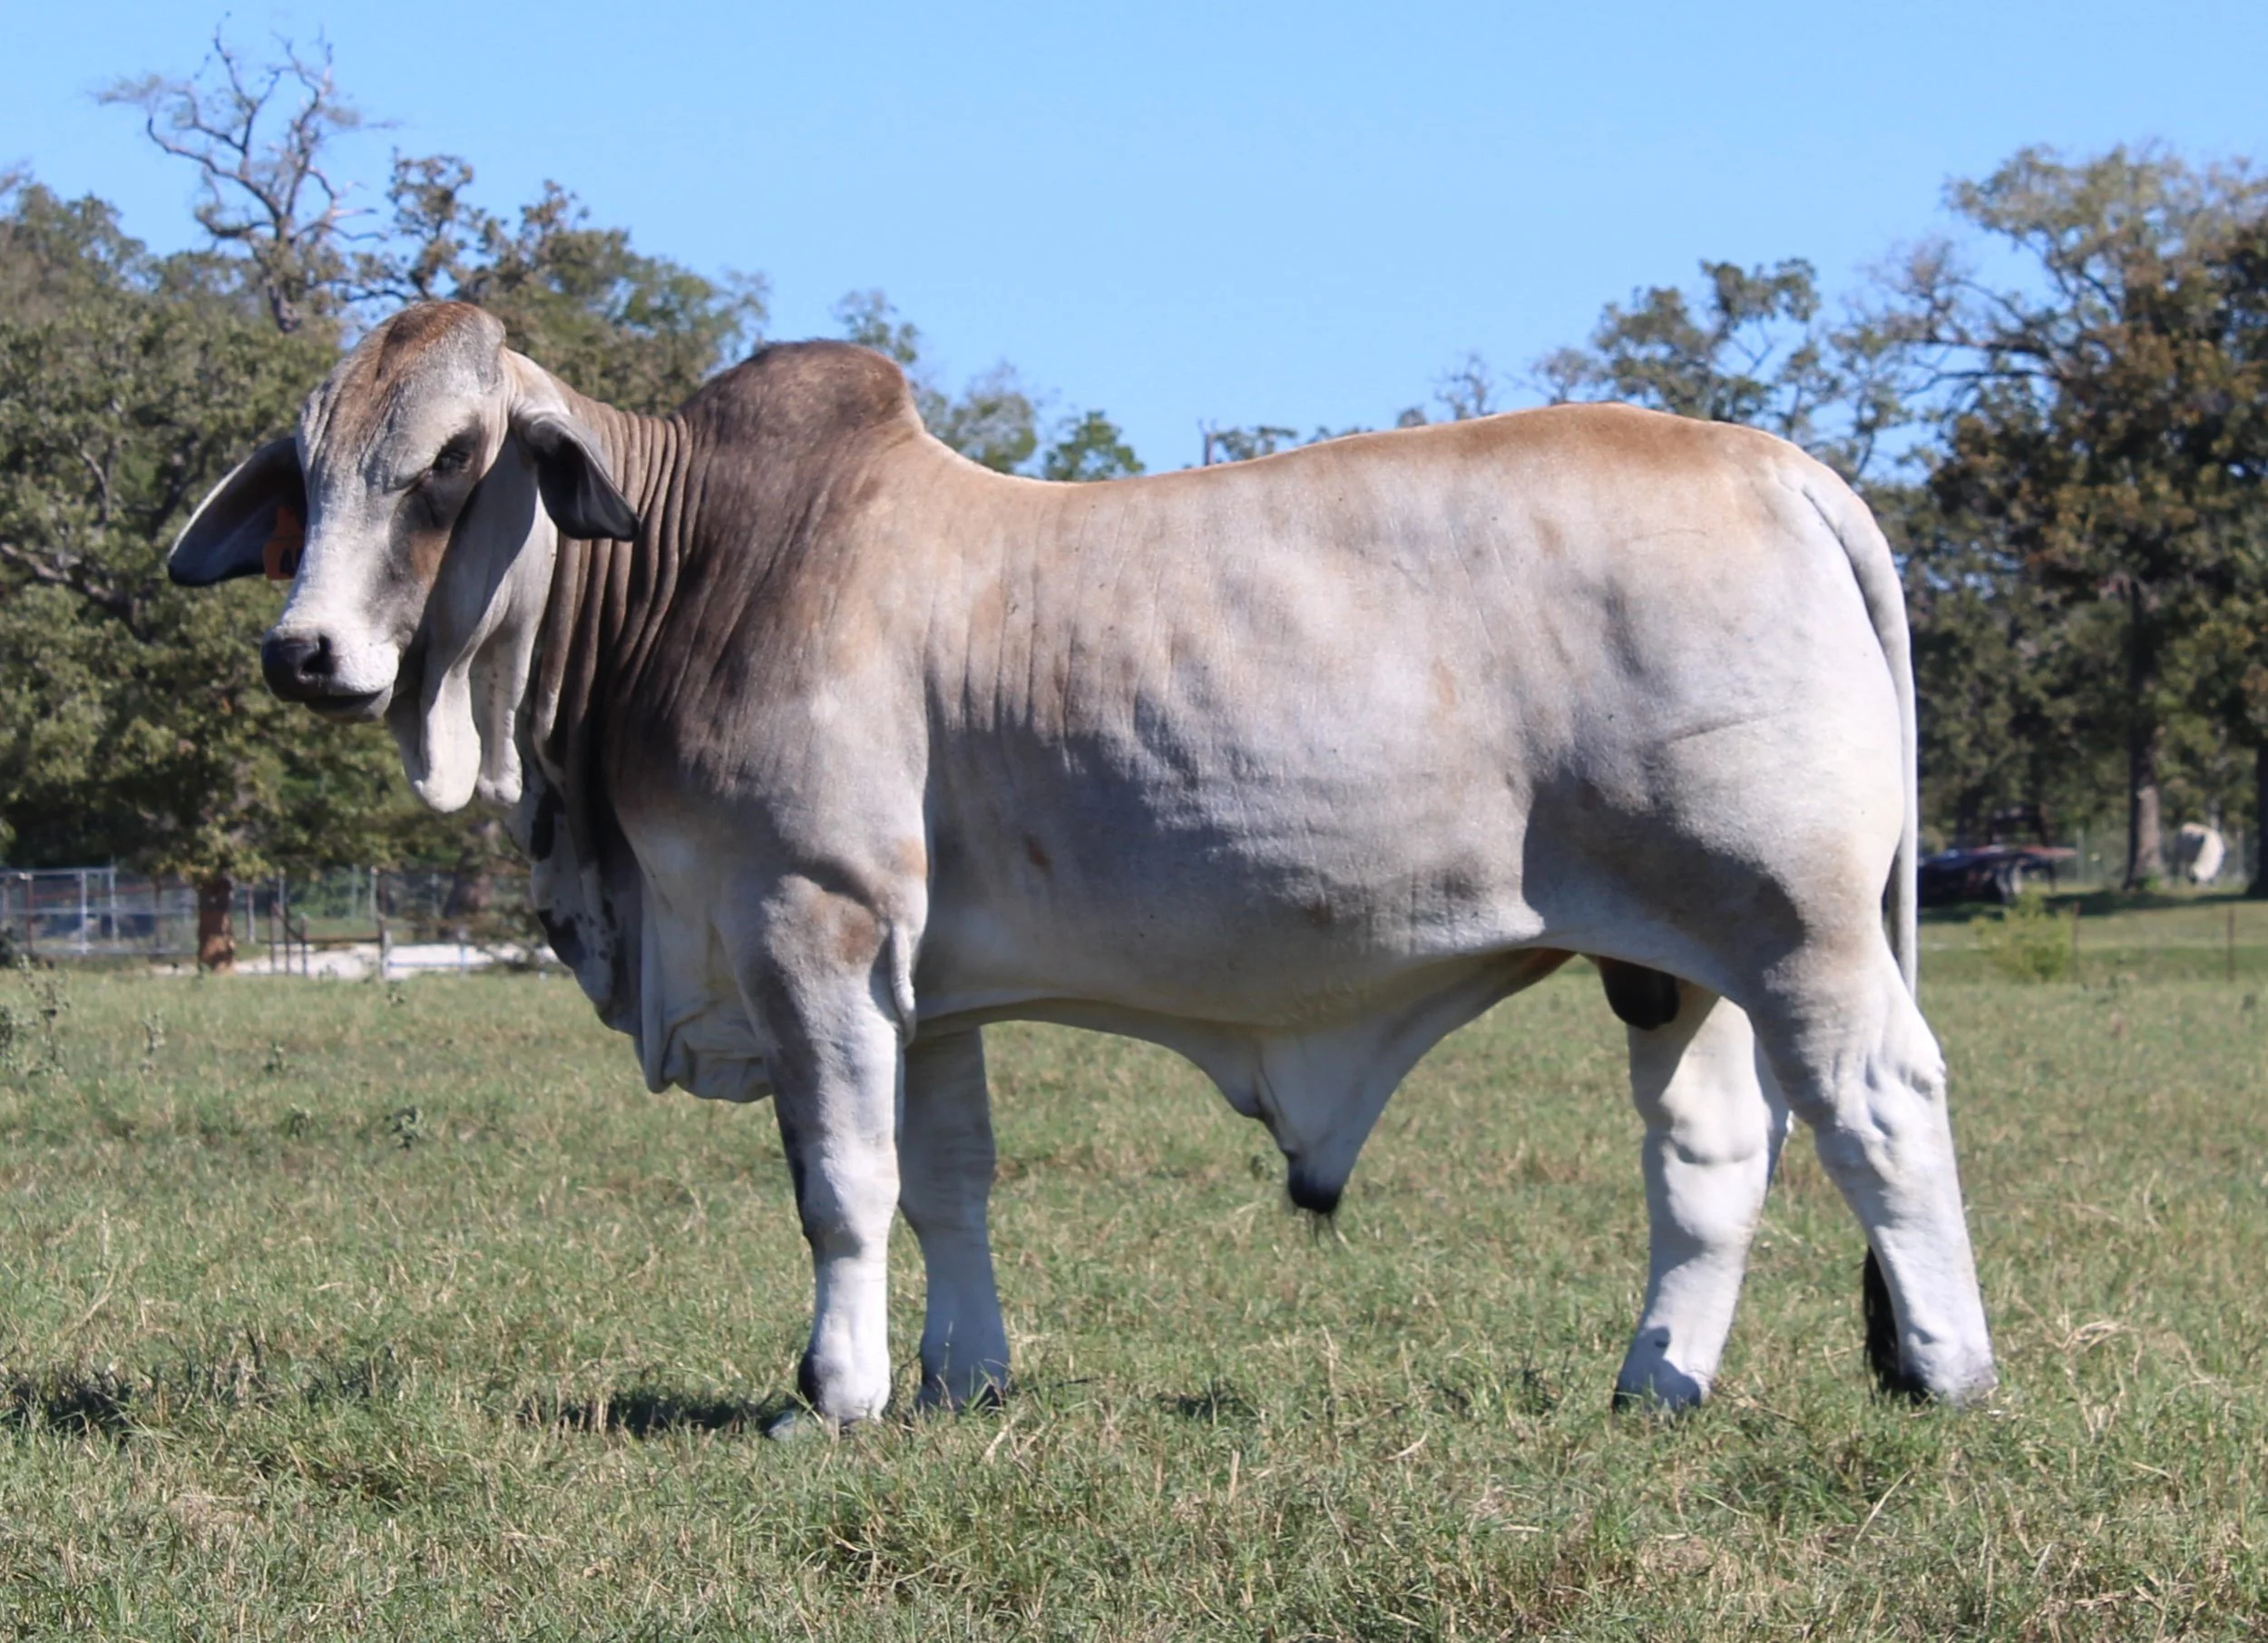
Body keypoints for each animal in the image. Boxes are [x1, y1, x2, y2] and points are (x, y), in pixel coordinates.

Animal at [169, 302, 1996, 1427]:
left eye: (448, 464)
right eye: (305, 474)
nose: (303, 652)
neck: (689, 577)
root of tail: (1791, 470)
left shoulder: (809, 925)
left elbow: (842, 1184)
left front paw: (833, 1393)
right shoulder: (926, 986)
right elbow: (947, 1178)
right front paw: (962, 1379)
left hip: (1801, 930)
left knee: (1883, 1103)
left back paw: (1952, 1370)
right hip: (1671, 962)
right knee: (1710, 1154)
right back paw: (1653, 1385)